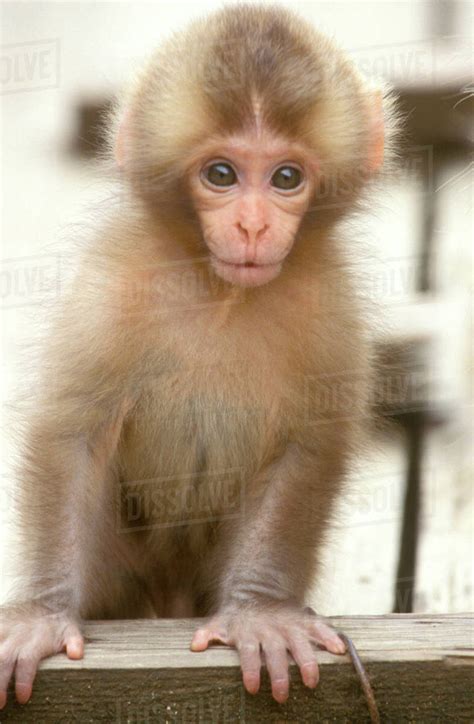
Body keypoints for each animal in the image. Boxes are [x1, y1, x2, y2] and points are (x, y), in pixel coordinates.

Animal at [0, 4, 397, 708]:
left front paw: (261, 615)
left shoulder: (329, 303)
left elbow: (308, 443)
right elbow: (72, 431)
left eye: (286, 178)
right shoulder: (114, 282)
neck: (222, 295)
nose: (252, 226)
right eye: (221, 175)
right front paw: (42, 617)